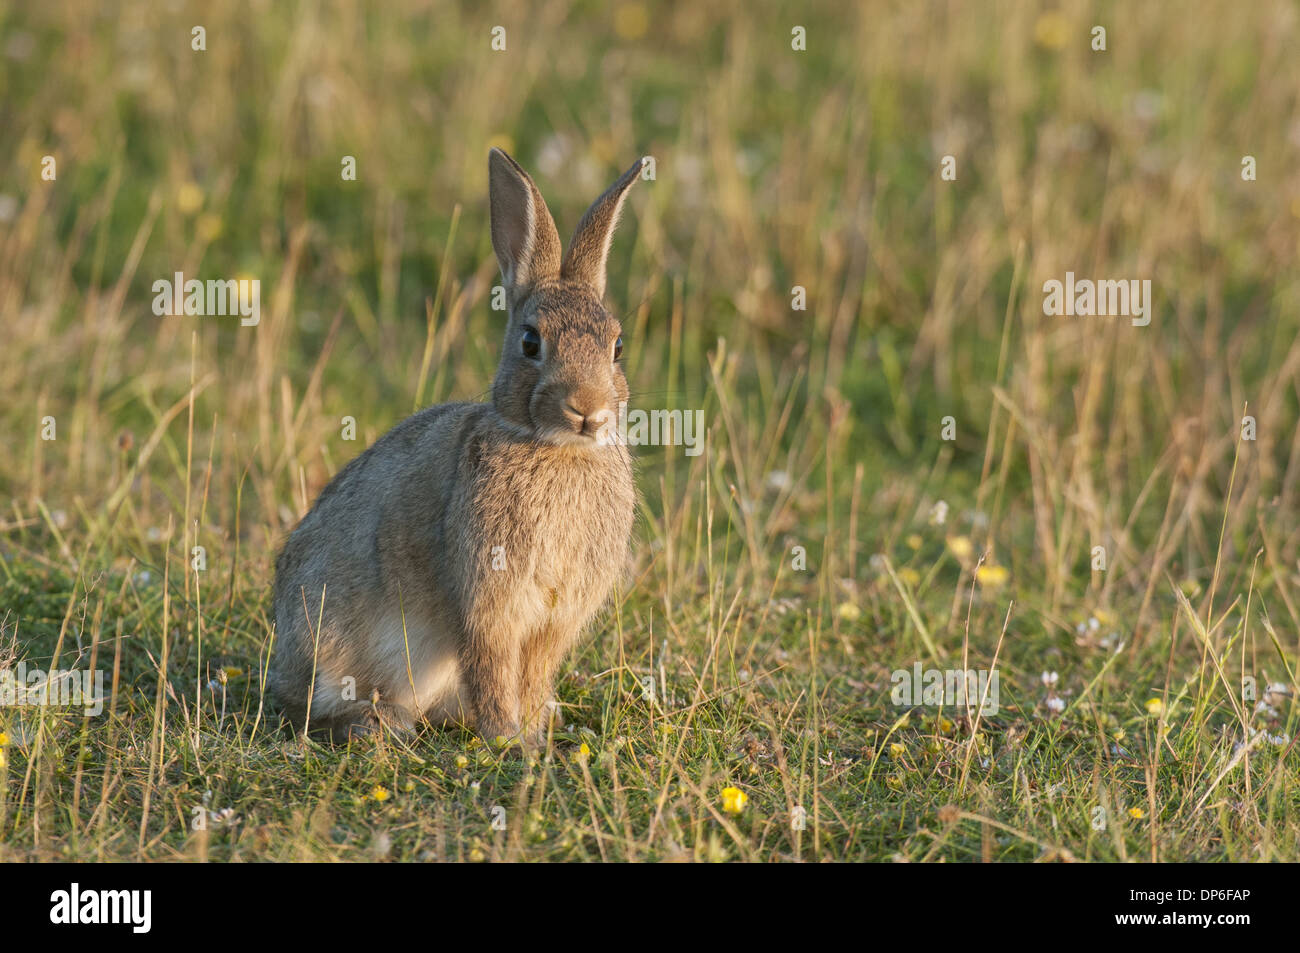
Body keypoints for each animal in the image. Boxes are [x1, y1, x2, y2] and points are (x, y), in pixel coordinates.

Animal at [270, 148, 644, 745]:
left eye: (618, 346)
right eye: (530, 342)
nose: (587, 410)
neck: (557, 449)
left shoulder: (553, 620)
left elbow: (533, 674)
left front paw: (535, 732)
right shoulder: (488, 601)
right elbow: (490, 665)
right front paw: (509, 740)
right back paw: (379, 723)